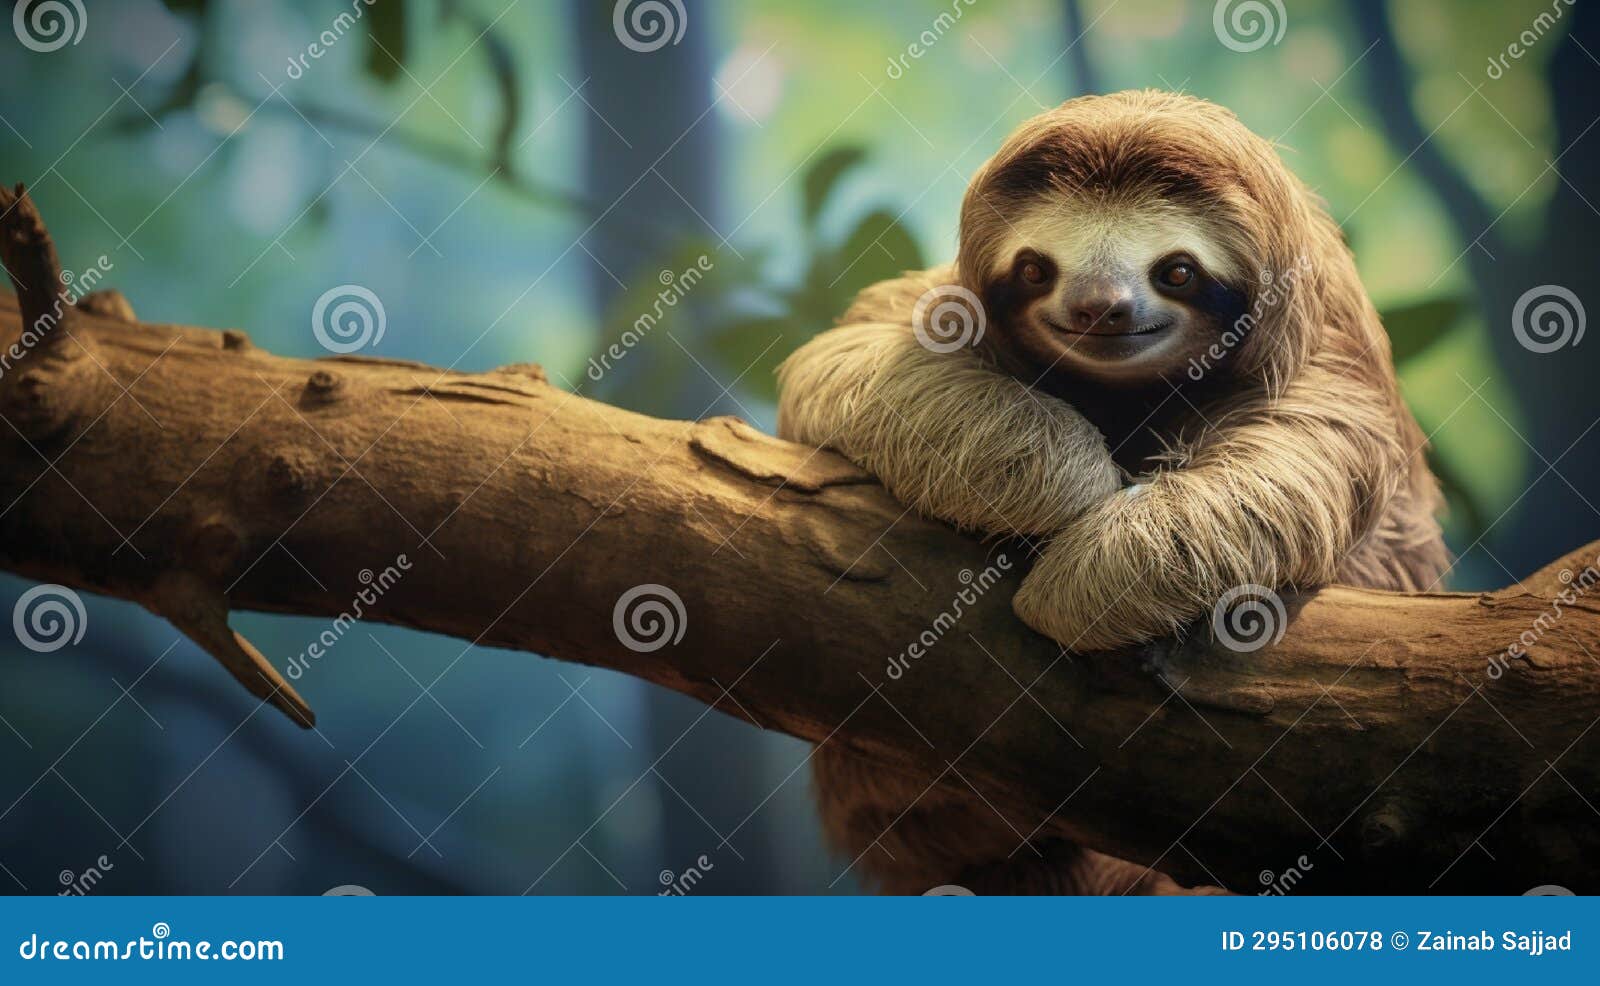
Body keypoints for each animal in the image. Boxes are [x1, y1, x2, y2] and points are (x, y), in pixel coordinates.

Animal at [775, 90, 1450, 894]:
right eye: (1035, 267)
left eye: (1178, 271)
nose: (1100, 305)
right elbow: (844, 356)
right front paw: (1066, 480)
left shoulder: (1330, 370)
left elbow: (1284, 466)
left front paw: (1076, 582)